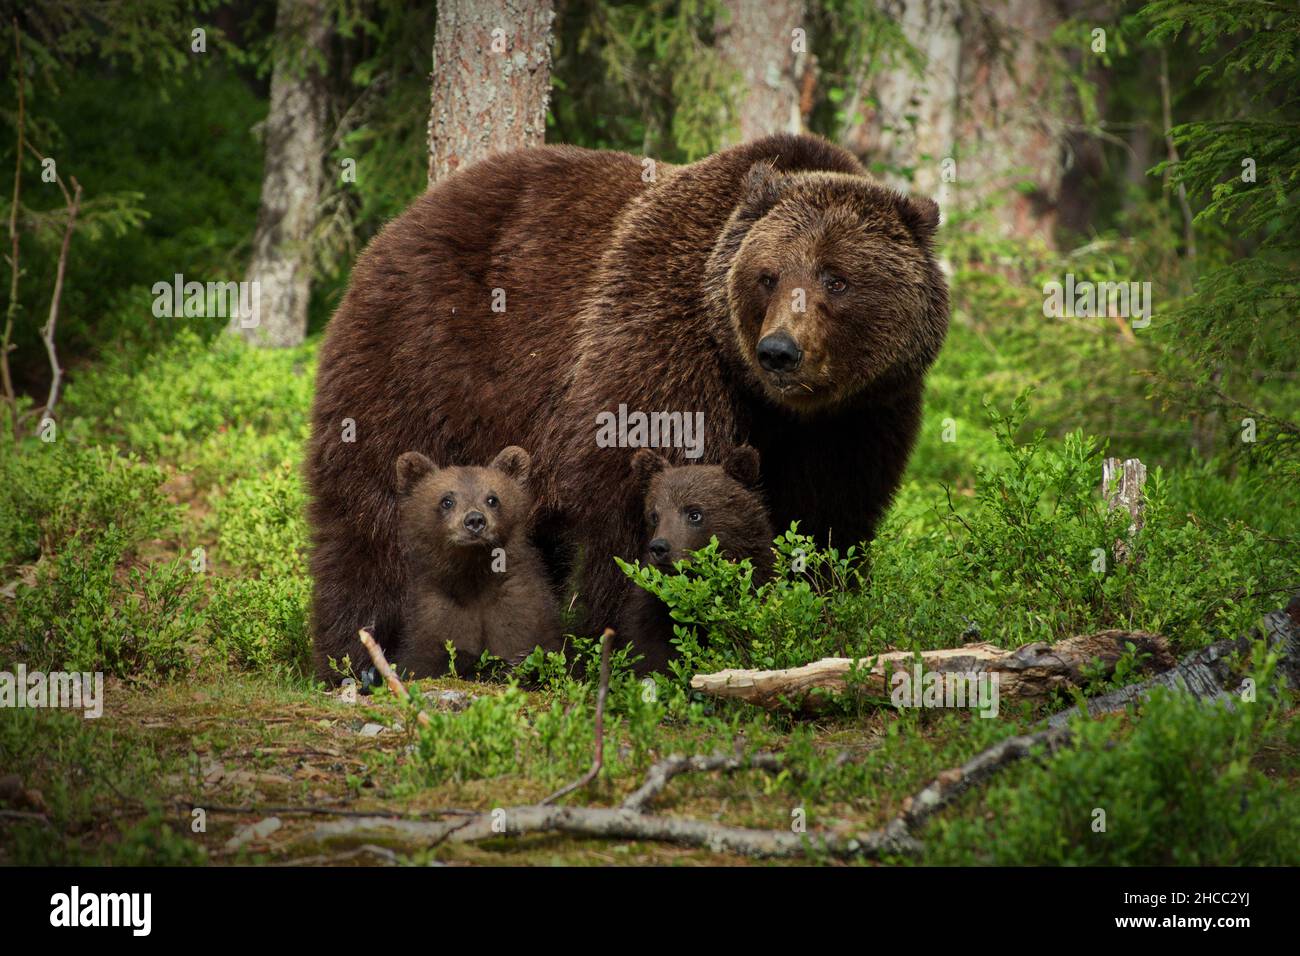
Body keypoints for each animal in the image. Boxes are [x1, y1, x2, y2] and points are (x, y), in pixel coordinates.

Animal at [390, 445, 564, 679]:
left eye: (492, 498)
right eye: (447, 500)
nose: (474, 520)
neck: (473, 576)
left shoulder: (522, 606)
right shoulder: (434, 611)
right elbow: (422, 660)